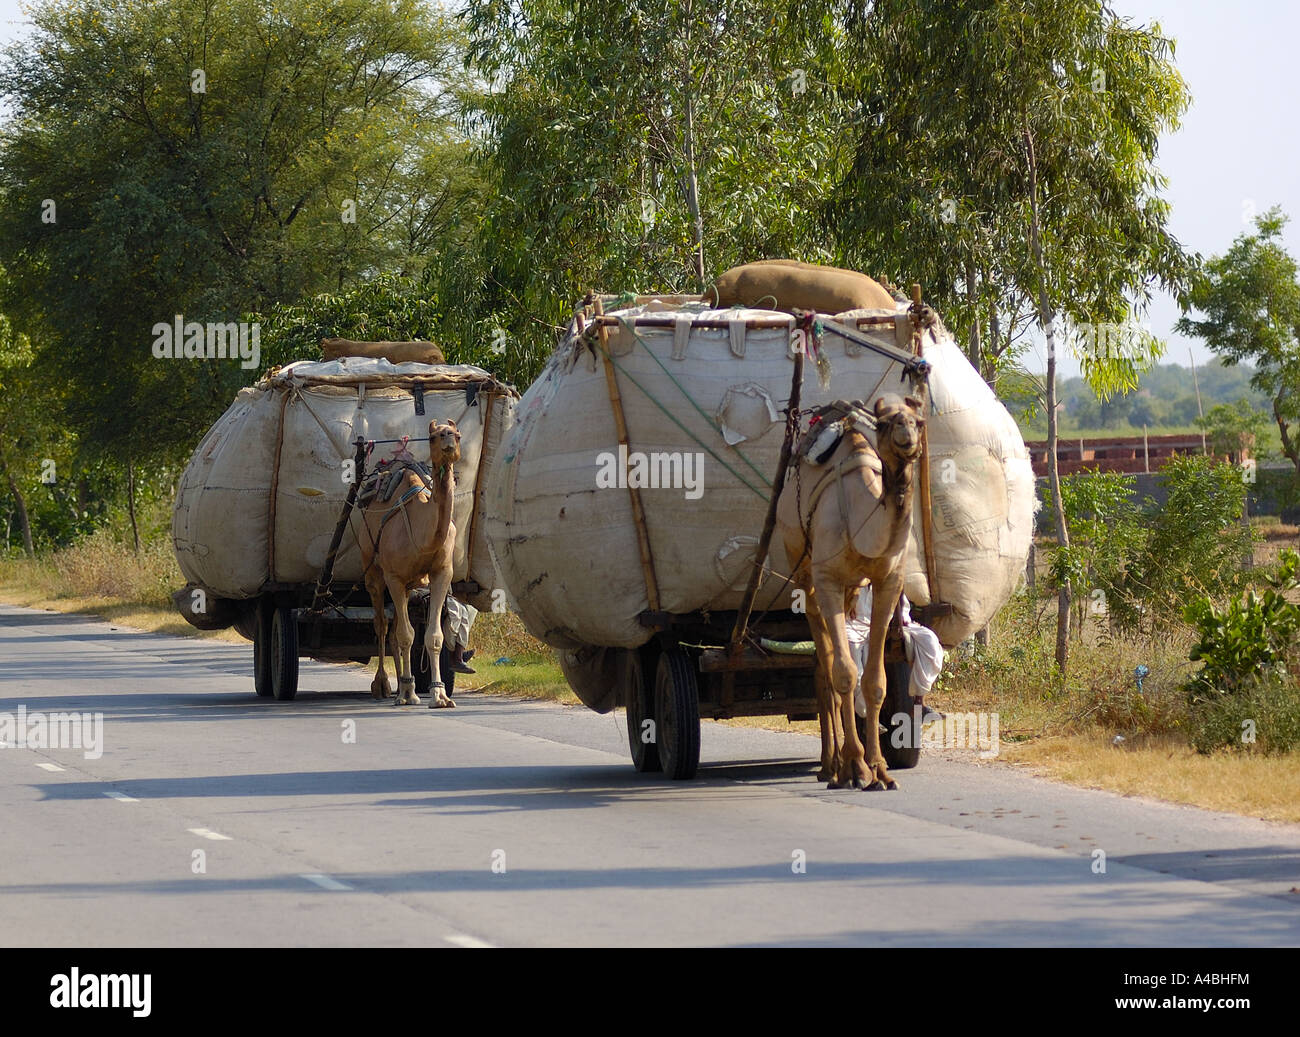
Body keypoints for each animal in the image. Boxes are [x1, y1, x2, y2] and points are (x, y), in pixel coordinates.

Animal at [356, 419, 460, 709]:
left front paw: (439, 695)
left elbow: (432, 637)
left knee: (394, 630)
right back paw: (383, 685)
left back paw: (403, 684)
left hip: (409, 586)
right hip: (373, 570)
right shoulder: (394, 576)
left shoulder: (442, 573)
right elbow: (406, 635)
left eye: (457, 434)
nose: (449, 440)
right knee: (382, 624)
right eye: (434, 436)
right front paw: (408, 694)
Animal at [777, 394, 925, 789]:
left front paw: (880, 770)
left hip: (850, 590)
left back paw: (837, 764)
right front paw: (858, 767)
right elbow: (844, 673)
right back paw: (833, 765)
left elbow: (875, 681)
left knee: (825, 663)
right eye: (886, 423)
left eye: (918, 421)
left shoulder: (888, 581)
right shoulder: (826, 577)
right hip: (803, 572)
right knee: (825, 666)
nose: (907, 435)